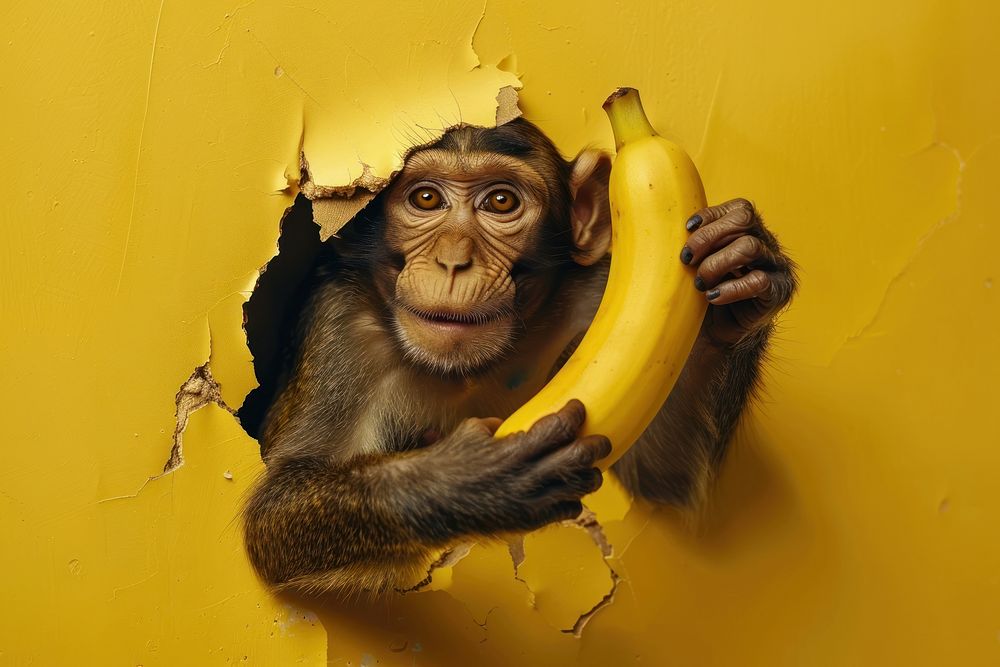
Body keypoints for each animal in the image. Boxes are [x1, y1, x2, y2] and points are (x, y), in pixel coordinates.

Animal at [242, 118, 796, 595]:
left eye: (501, 201)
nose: (453, 260)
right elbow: (275, 508)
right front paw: (465, 483)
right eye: (425, 198)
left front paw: (738, 268)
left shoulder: (592, 295)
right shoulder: (340, 326)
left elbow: (665, 482)